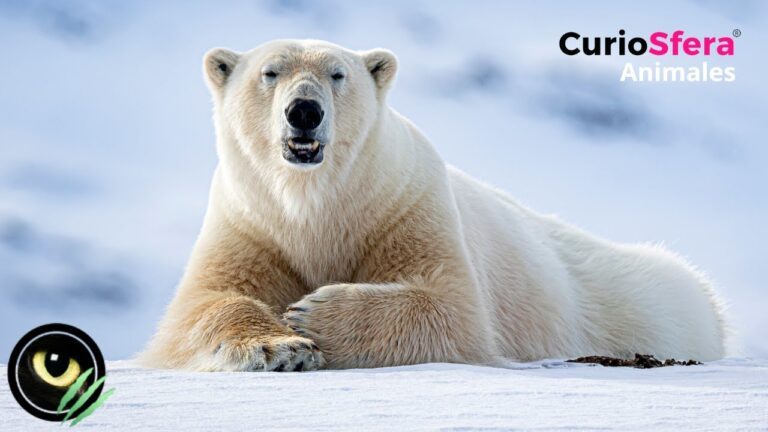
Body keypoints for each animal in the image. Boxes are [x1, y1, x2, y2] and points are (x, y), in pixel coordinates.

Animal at [139, 39, 726, 372]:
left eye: (338, 74)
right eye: (271, 72)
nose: (304, 111)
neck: (317, 206)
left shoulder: (405, 205)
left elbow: (451, 308)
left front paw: (312, 315)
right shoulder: (251, 223)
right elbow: (205, 304)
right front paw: (281, 348)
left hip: (645, 306)